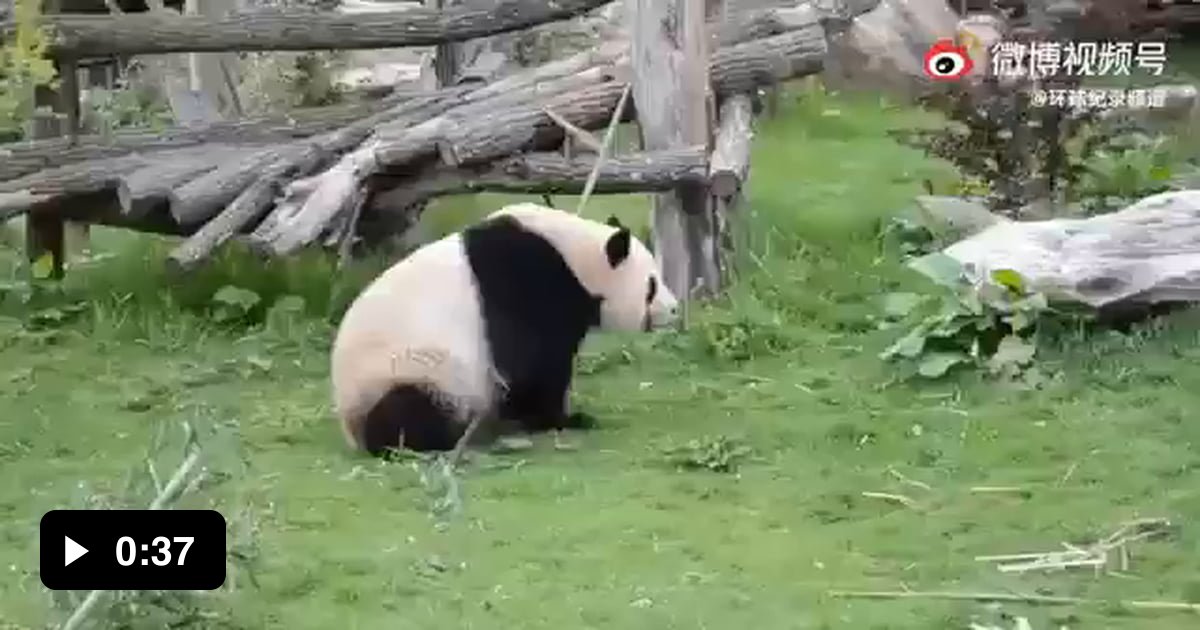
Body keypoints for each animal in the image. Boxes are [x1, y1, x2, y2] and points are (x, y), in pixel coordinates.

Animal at [330, 202, 681, 456]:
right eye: (651, 285)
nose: (676, 309)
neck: (576, 256)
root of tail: (349, 430)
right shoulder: (524, 279)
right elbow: (532, 359)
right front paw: (562, 419)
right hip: (409, 372)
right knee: (408, 410)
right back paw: (445, 437)